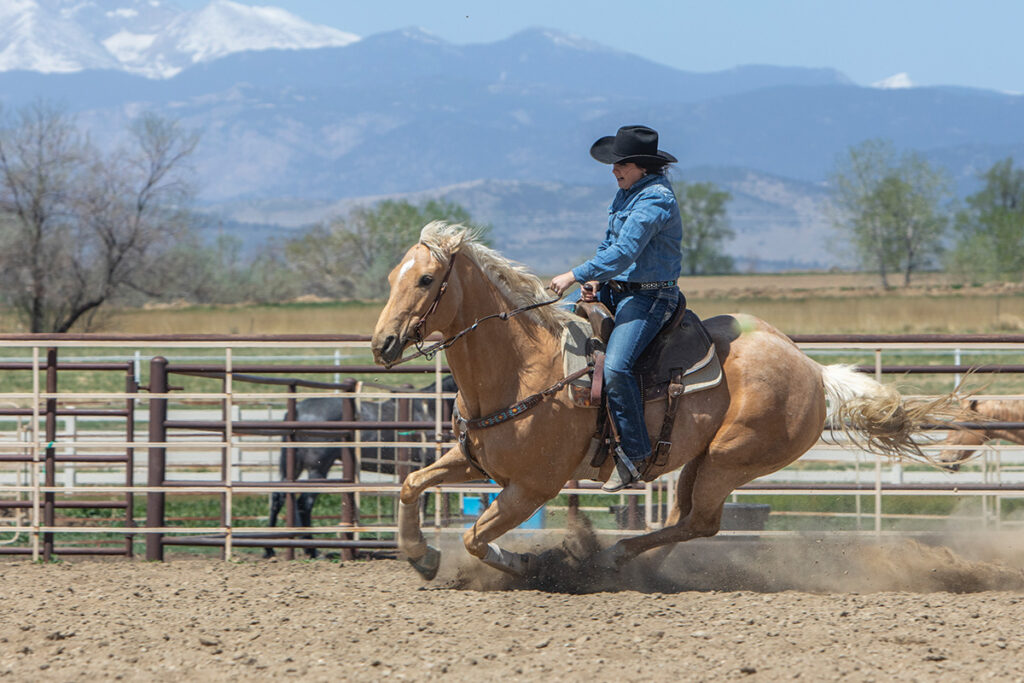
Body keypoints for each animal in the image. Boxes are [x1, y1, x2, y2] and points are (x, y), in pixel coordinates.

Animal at [264, 375, 457, 558]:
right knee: (304, 503)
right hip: (317, 470)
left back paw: (271, 549)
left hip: (294, 468)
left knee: (279, 497)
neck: (429, 408)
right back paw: (310, 549)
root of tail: (298, 410)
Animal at [370, 221, 963, 579]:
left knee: (701, 523)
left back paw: (612, 555)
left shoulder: (532, 488)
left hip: (729, 459)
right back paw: (636, 567)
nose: (382, 344)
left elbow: (475, 536)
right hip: (696, 460)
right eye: (392, 276)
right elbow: (410, 483)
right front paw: (421, 556)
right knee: (685, 518)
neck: (523, 366)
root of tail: (811, 369)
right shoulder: (476, 460)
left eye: (426, 279)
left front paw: (527, 564)